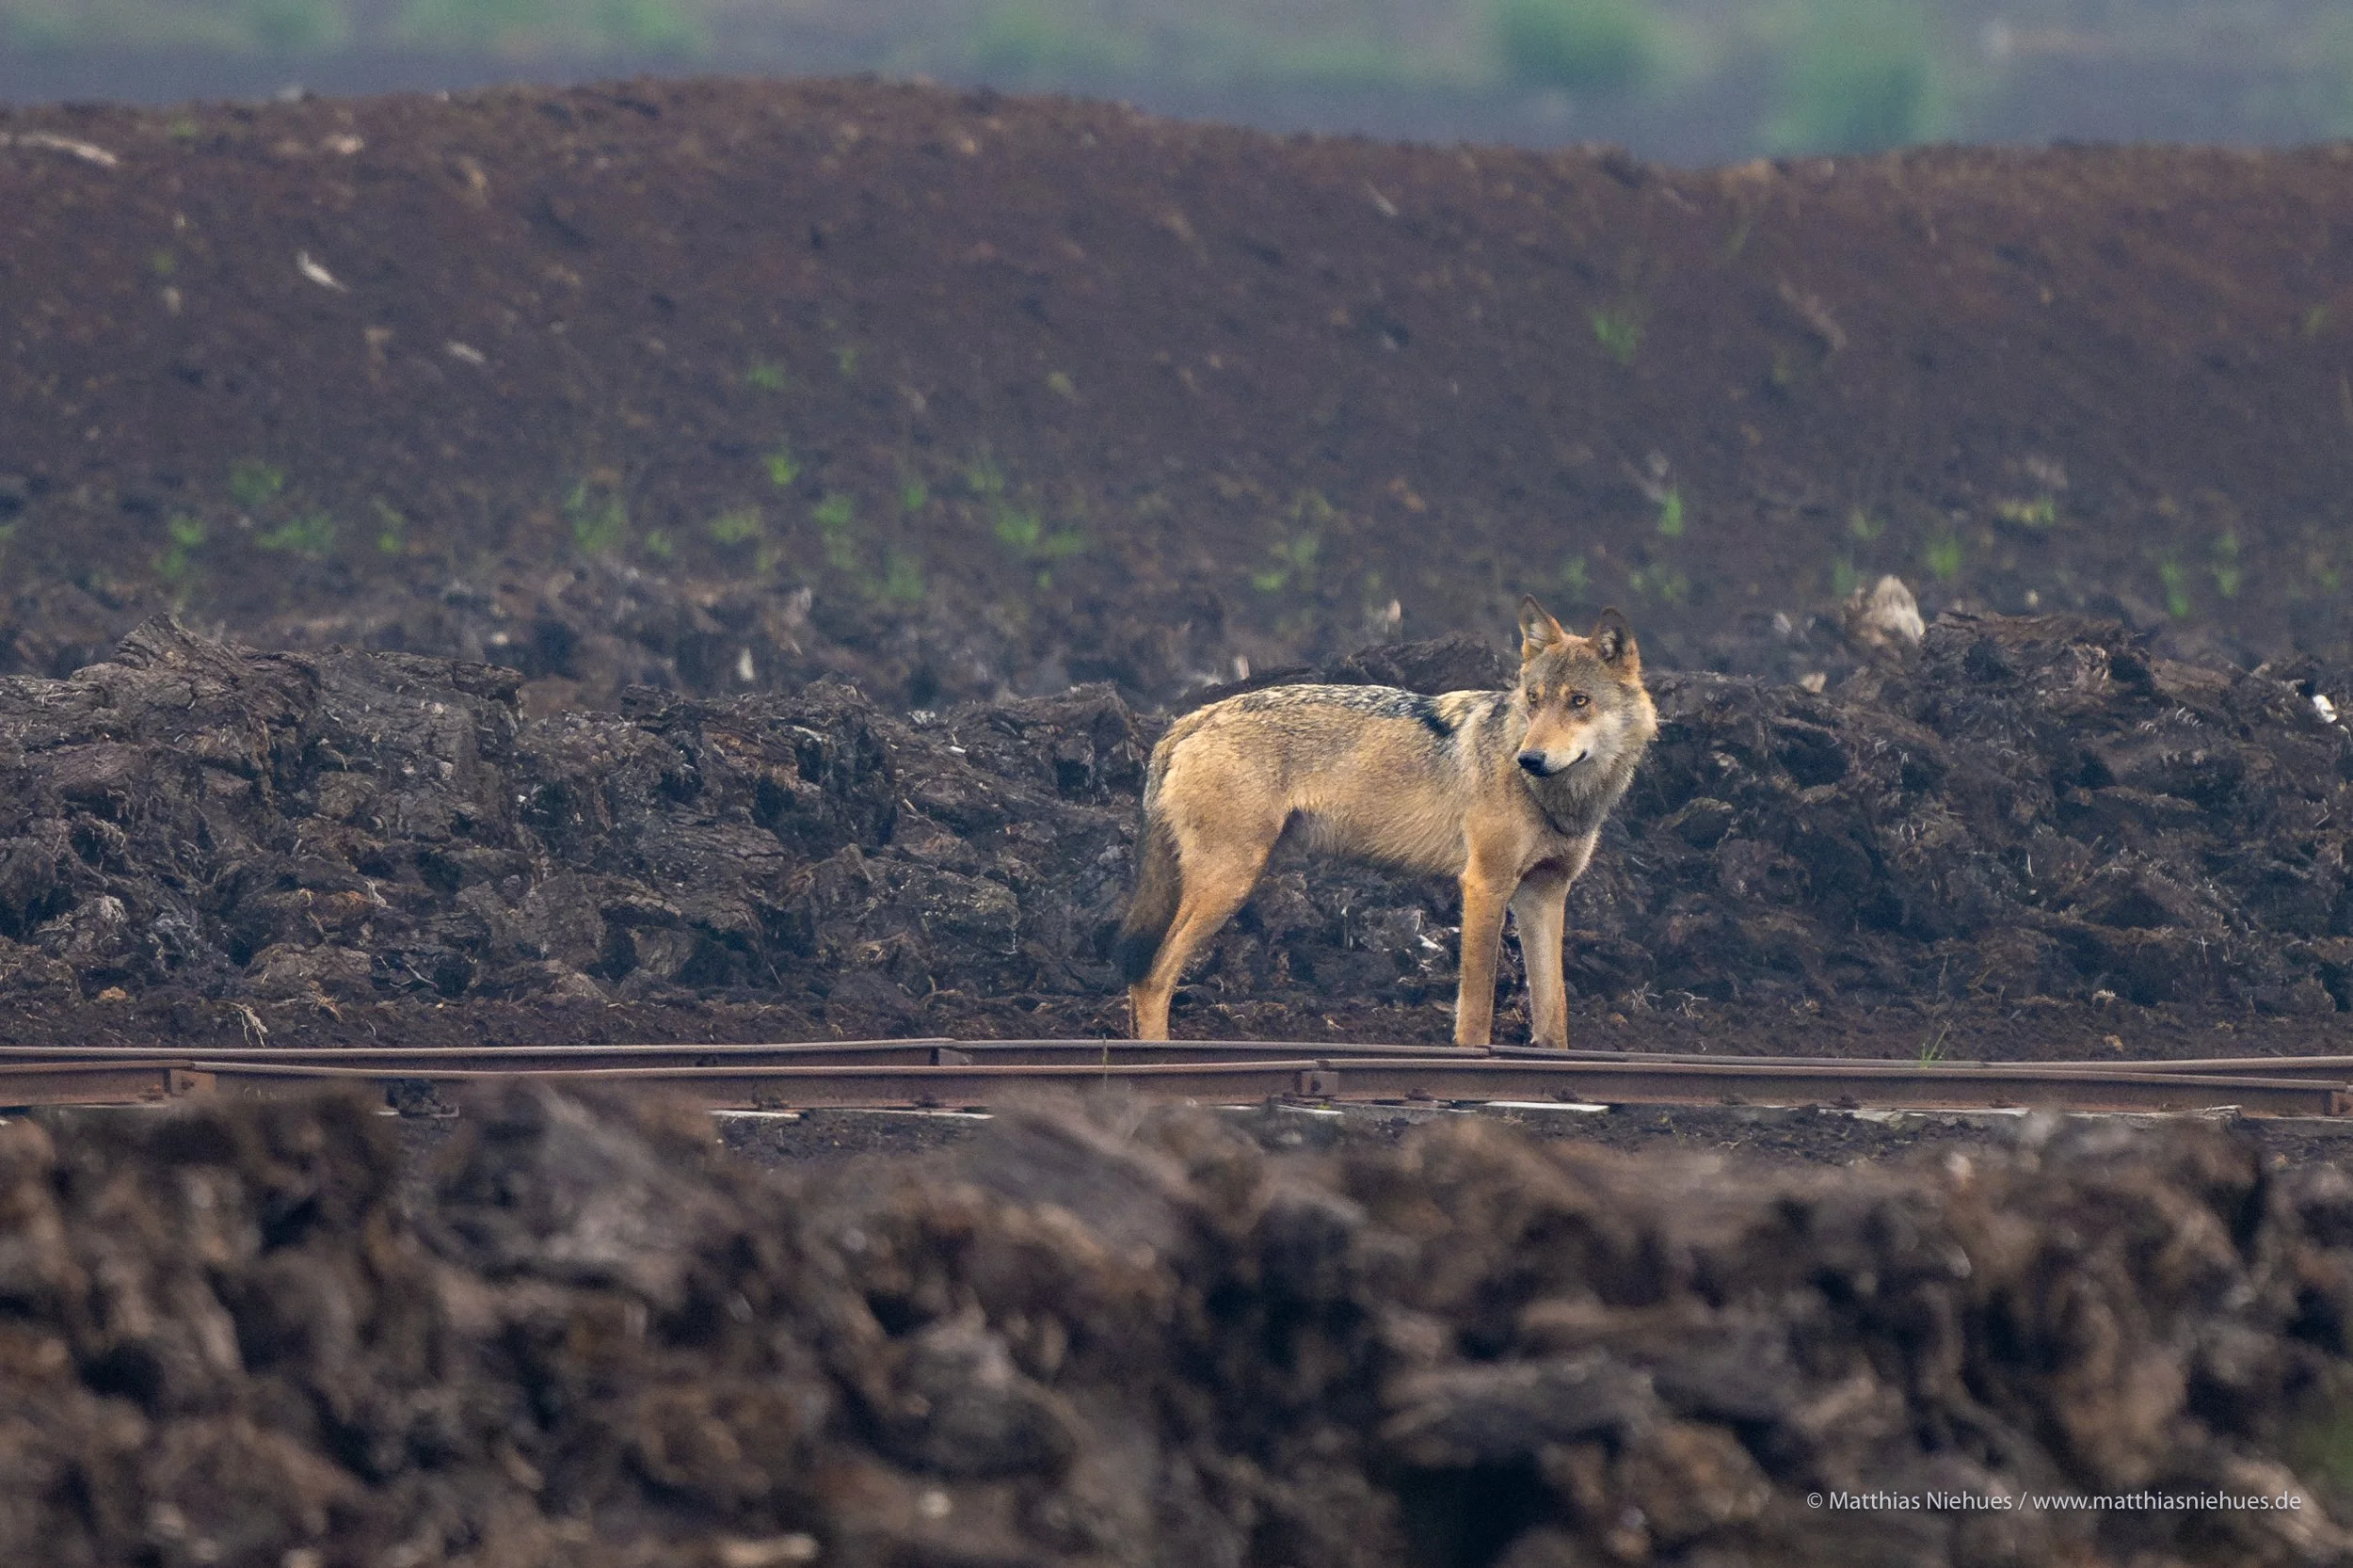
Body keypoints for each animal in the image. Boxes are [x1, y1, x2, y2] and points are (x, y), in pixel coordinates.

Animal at [1115, 597, 1657, 1046]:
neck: (1562, 799)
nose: (1530, 758)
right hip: (1228, 884)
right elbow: (1476, 1006)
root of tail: (1192, 718)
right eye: (1535, 700)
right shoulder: (1484, 884)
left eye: (1579, 701)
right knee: (1152, 977)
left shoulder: (1543, 895)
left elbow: (1554, 1012)